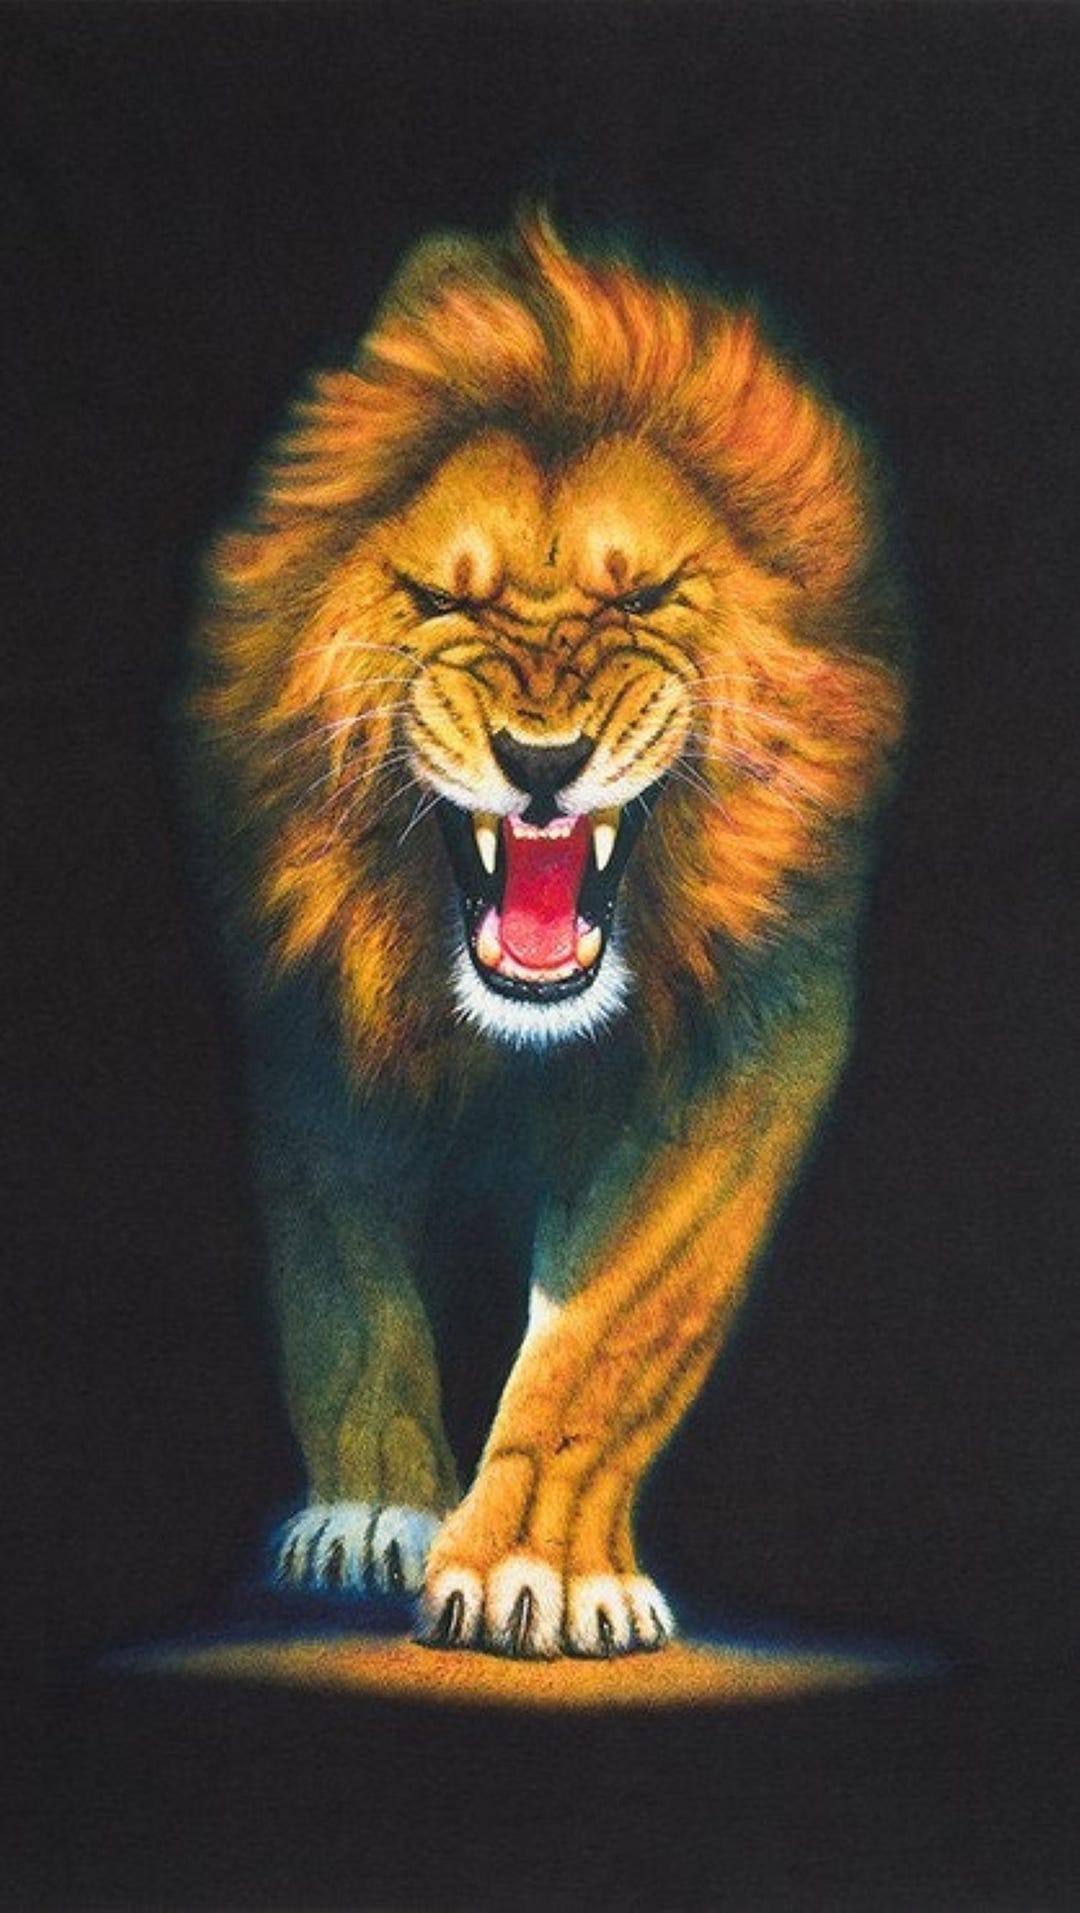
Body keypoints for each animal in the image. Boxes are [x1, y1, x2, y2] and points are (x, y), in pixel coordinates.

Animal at [186, 212, 908, 1658]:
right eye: (442, 601)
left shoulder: (755, 1032)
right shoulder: (304, 1023)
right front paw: (371, 1511)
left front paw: (540, 1567)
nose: (541, 759)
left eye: (644, 600)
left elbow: (613, 1334)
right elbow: (345, 1291)